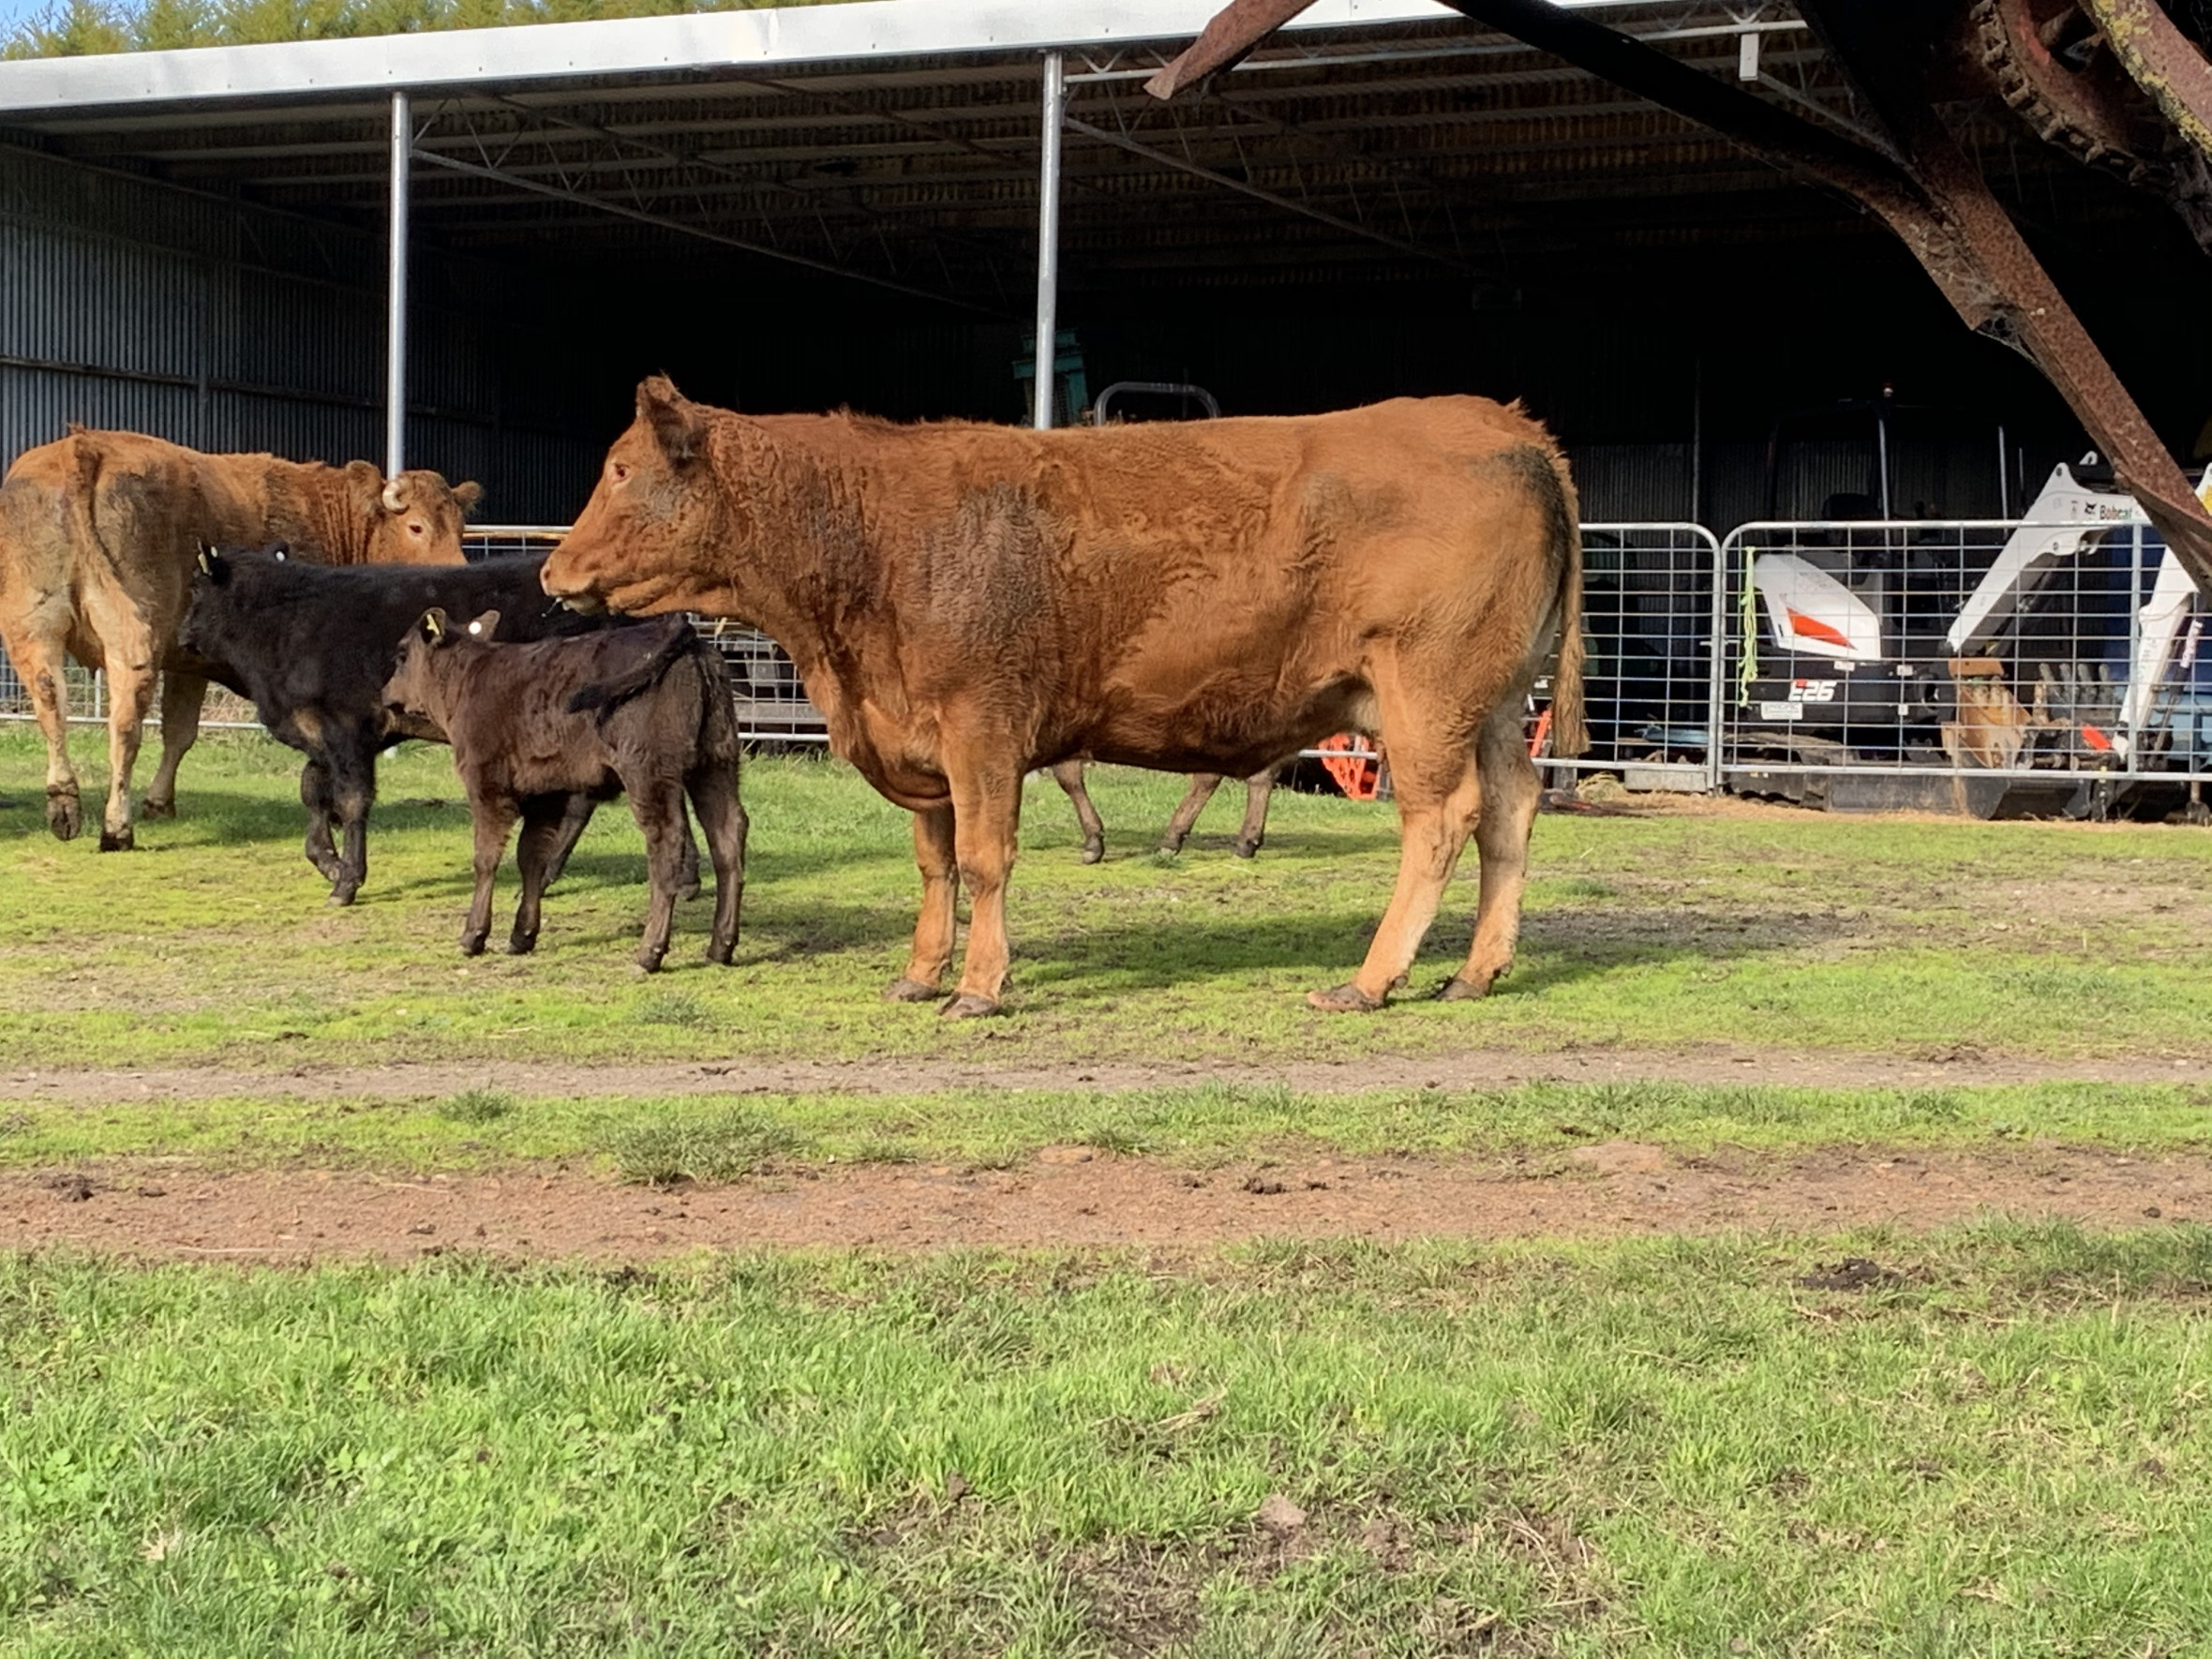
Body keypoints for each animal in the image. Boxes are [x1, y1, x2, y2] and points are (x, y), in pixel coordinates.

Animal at [0, 426, 480, 852]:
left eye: (459, 529)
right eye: (416, 527)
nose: (459, 573)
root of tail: (83, 446)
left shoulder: (187, 663)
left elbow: (179, 732)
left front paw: (160, 802)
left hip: (32, 624)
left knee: (50, 701)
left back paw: (64, 804)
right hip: (132, 636)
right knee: (124, 723)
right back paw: (117, 827)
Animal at [177, 547, 700, 905]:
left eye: (196, 591)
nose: (179, 634)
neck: (289, 624)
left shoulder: (346, 728)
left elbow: (351, 801)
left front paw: (348, 879)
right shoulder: (320, 736)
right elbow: (312, 792)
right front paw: (327, 861)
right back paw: (680, 876)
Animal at [381, 609, 746, 971]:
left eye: (401, 655)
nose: (384, 694)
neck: (466, 679)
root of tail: (682, 633)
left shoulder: (486, 784)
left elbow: (486, 859)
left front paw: (473, 935)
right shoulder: (547, 793)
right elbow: (531, 856)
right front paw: (522, 935)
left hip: (648, 771)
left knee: (667, 843)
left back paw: (650, 952)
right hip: (717, 761)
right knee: (728, 836)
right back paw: (721, 946)